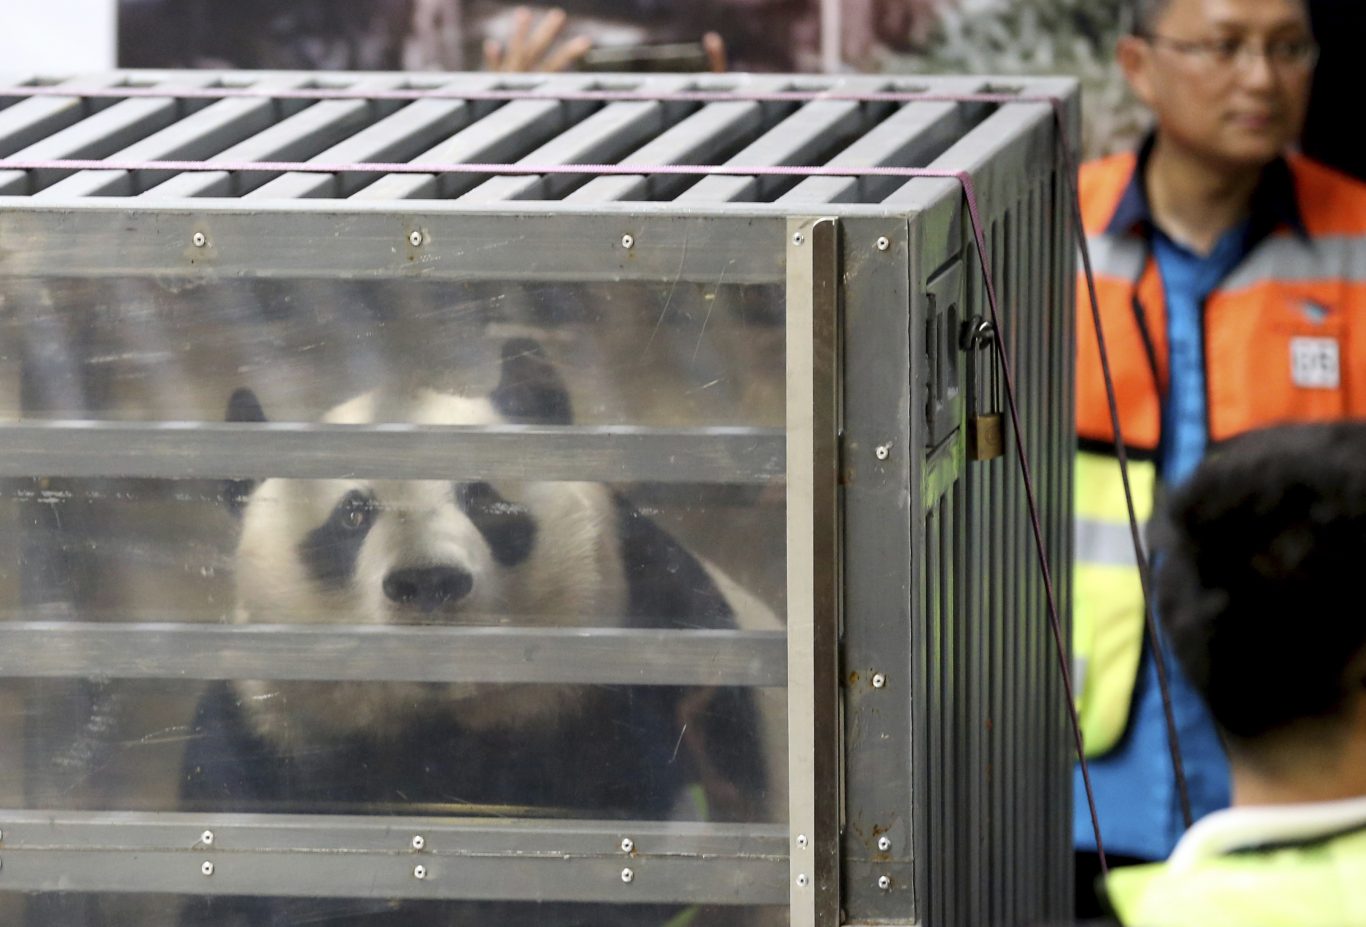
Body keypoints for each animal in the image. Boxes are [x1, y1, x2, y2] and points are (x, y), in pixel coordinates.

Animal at [178, 339, 783, 927]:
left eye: (483, 499)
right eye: (353, 514)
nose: (428, 580)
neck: (444, 726)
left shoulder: (648, 659)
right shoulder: (265, 732)